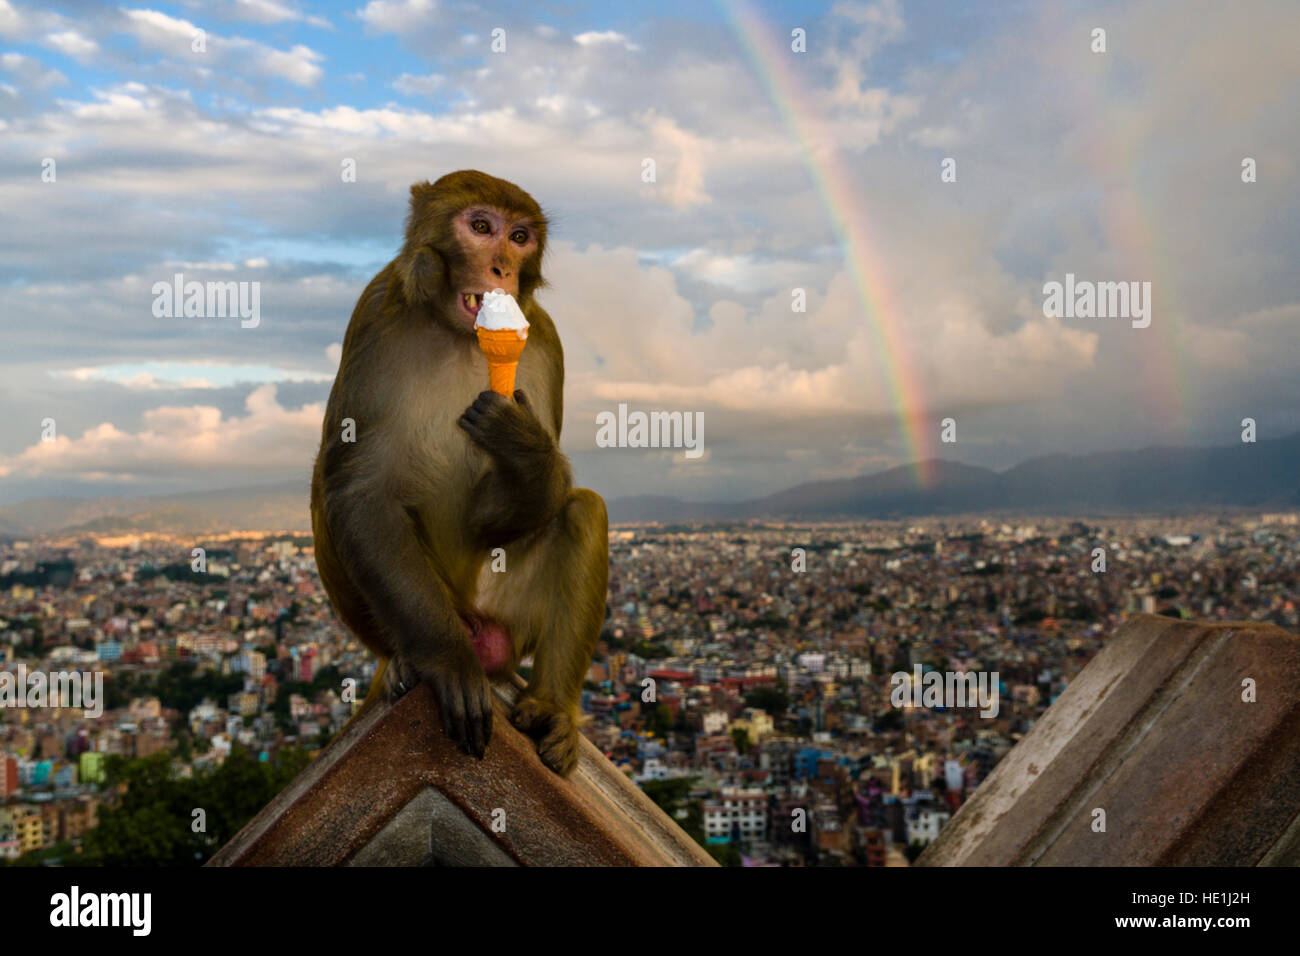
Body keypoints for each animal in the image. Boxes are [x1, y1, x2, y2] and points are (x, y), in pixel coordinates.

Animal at [310, 170, 608, 776]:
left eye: (519, 236)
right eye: (480, 227)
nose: (502, 268)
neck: (458, 333)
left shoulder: (545, 341)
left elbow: (498, 519)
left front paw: (525, 446)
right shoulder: (376, 313)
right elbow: (359, 489)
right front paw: (448, 662)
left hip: (506, 615)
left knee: (583, 510)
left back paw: (551, 707)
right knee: (328, 491)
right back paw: (410, 659)